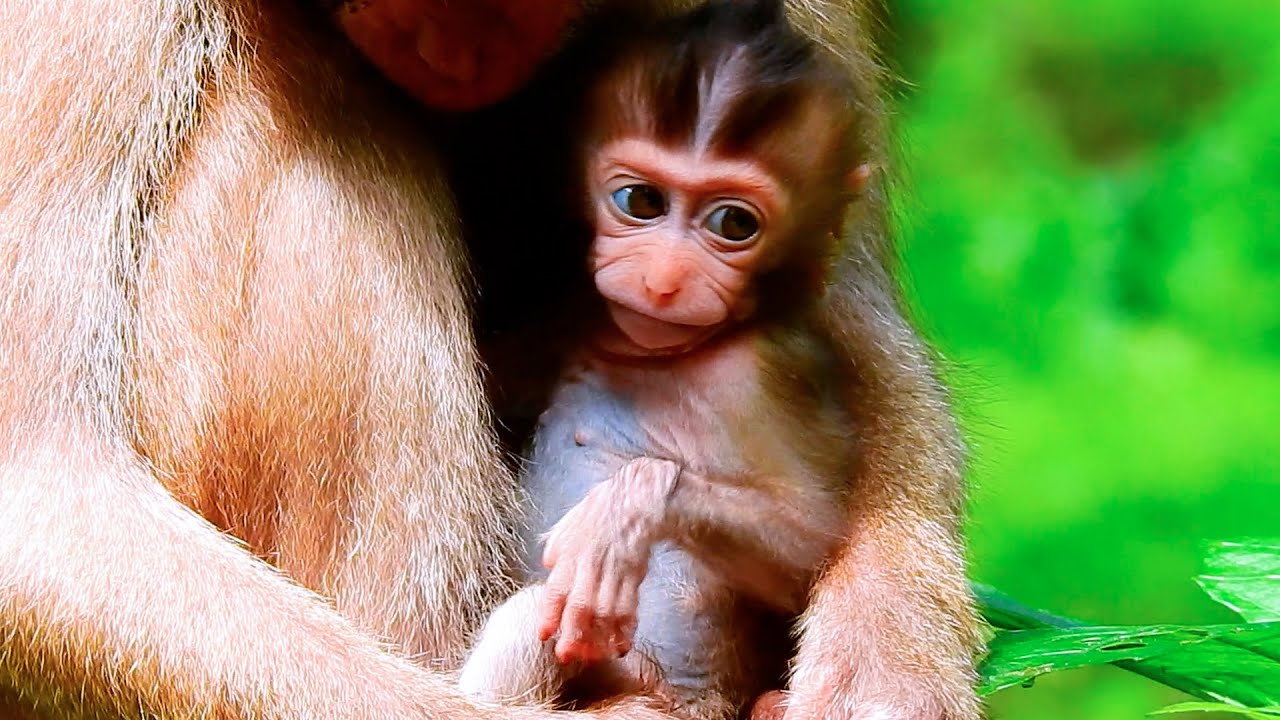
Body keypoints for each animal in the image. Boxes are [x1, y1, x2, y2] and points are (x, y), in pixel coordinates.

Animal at [0, 1, 980, 719]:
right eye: (638, 202)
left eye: (731, 222)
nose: (462, 52)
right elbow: (40, 494)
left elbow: (844, 314)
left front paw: (883, 680)